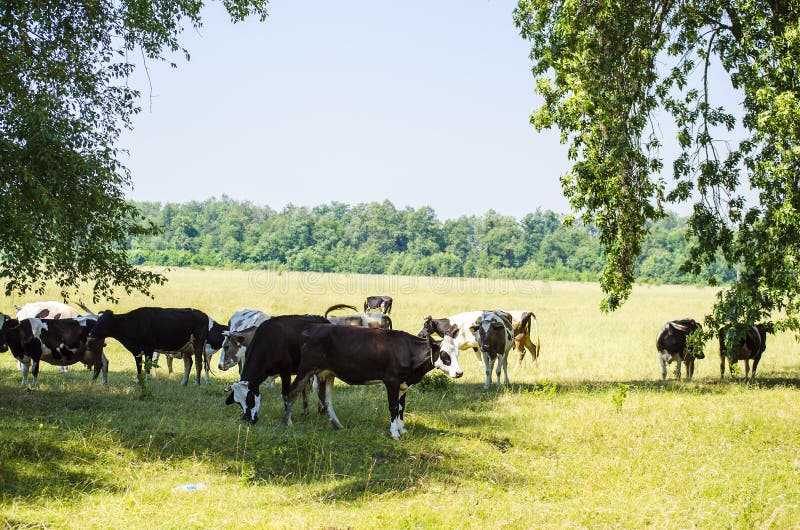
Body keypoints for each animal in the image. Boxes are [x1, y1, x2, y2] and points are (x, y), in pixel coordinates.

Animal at [87, 307, 223, 386]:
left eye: (103, 322)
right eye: (97, 321)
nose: (90, 335)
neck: (134, 322)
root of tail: (203, 315)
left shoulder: (149, 348)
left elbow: (147, 366)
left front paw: (147, 382)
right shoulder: (136, 351)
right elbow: (139, 367)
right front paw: (139, 383)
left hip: (198, 343)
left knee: (199, 363)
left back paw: (197, 383)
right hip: (186, 348)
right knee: (189, 363)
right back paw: (183, 383)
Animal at [276, 324, 463, 439]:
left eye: (457, 354)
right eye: (445, 355)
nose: (459, 373)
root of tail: (311, 328)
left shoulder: (403, 384)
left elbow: (401, 407)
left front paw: (402, 428)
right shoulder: (391, 381)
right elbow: (393, 406)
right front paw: (394, 433)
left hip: (328, 373)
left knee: (325, 398)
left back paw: (337, 425)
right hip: (306, 369)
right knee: (291, 391)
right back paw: (287, 422)